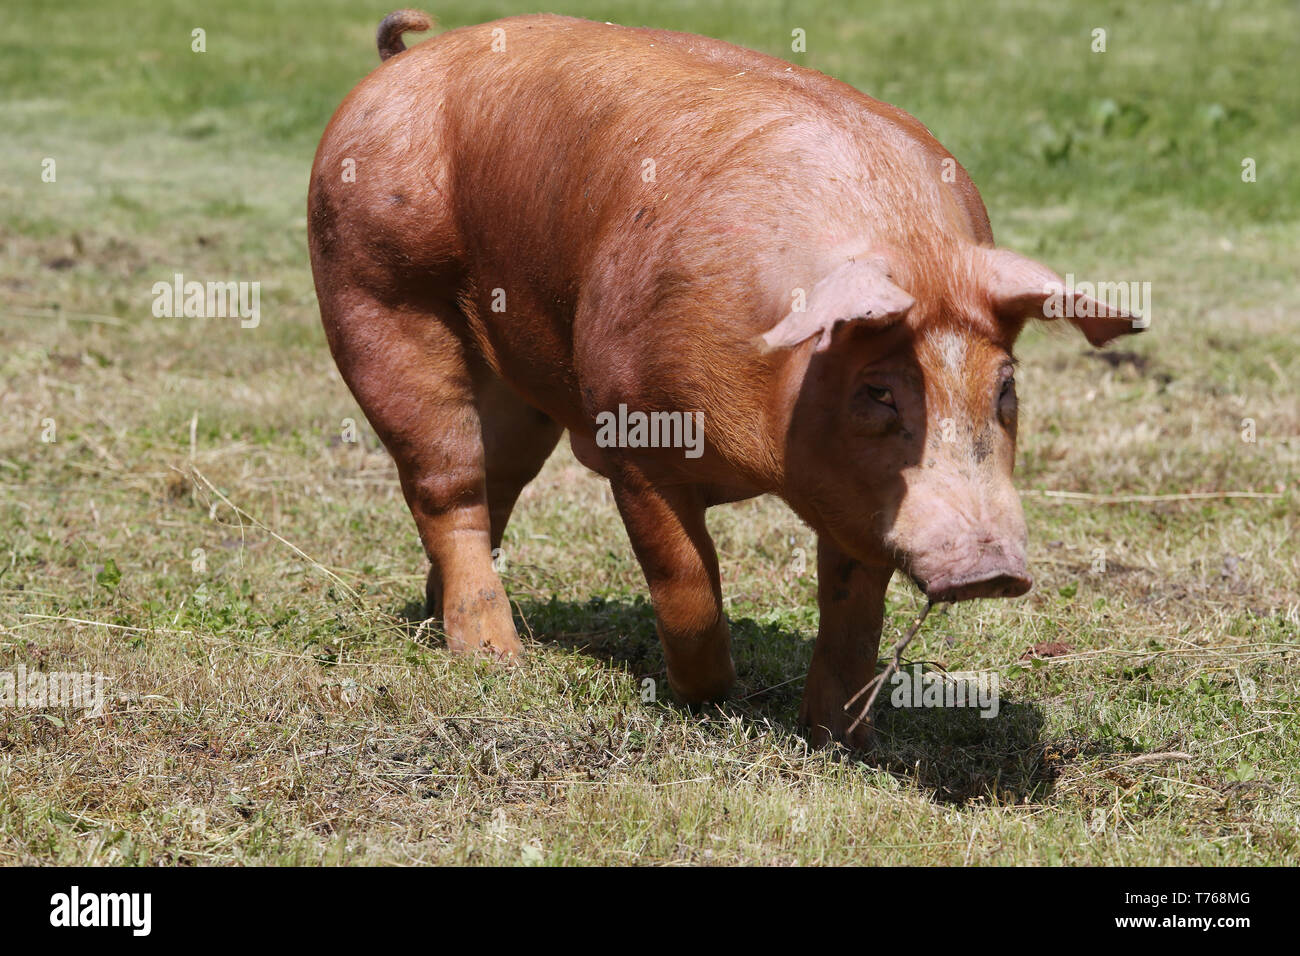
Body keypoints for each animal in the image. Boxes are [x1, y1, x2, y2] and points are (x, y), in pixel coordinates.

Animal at [308, 10, 1142, 747]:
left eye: (1004, 388)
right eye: (878, 391)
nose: (988, 569)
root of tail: (397, 64)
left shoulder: (860, 501)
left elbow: (853, 615)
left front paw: (842, 740)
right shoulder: (634, 436)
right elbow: (686, 583)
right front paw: (712, 698)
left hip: (514, 379)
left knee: (495, 484)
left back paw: (440, 619)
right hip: (376, 296)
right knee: (446, 485)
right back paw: (497, 658)